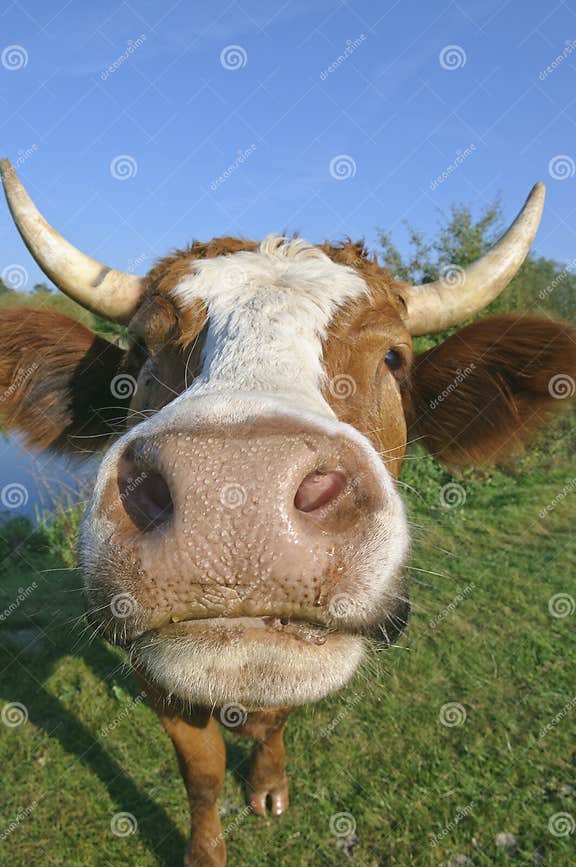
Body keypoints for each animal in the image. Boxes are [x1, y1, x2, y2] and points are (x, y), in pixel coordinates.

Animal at [1, 158, 575, 866]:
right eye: (139, 352)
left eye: (393, 357)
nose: (236, 488)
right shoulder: (158, 677)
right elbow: (203, 771)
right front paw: (205, 850)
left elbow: (274, 724)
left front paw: (269, 786)